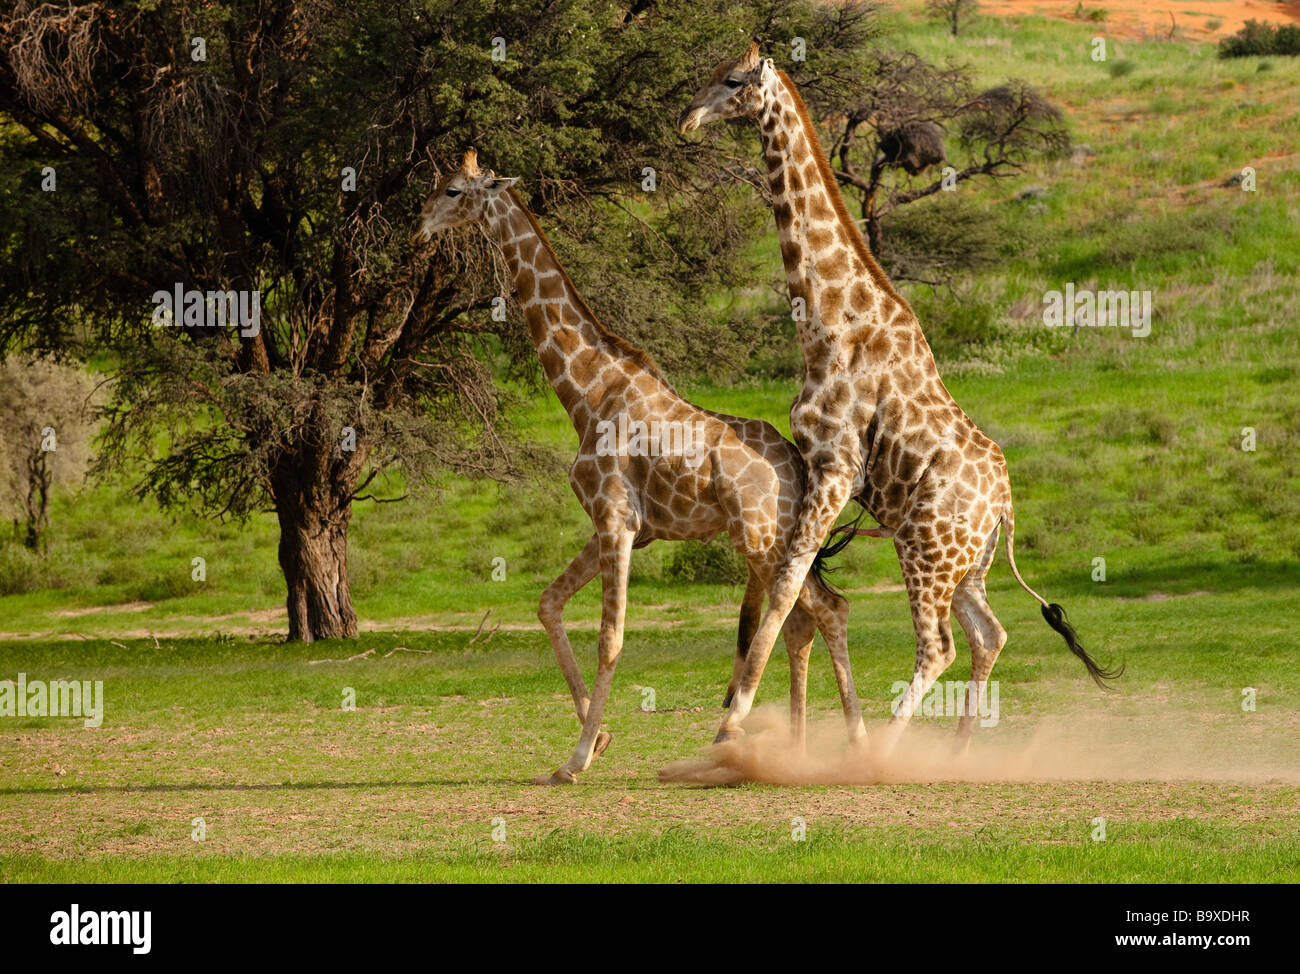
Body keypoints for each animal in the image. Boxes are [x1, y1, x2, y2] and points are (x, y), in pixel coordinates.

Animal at [414, 150, 867, 783]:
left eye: (453, 190)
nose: (419, 226)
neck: (584, 389)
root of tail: (799, 466)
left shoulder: (615, 520)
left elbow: (611, 637)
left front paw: (575, 758)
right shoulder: (623, 526)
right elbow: (548, 604)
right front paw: (599, 738)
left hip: (761, 538)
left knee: (825, 609)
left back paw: (850, 745)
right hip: (770, 540)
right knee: (810, 616)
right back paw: (800, 752)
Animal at [679, 44, 1122, 753]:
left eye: (733, 79)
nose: (688, 117)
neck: (827, 320)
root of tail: (1005, 507)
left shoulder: (835, 467)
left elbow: (786, 586)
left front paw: (732, 723)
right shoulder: (811, 467)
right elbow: (788, 587)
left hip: (925, 550)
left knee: (939, 645)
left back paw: (887, 752)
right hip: (964, 563)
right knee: (989, 633)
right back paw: (958, 752)